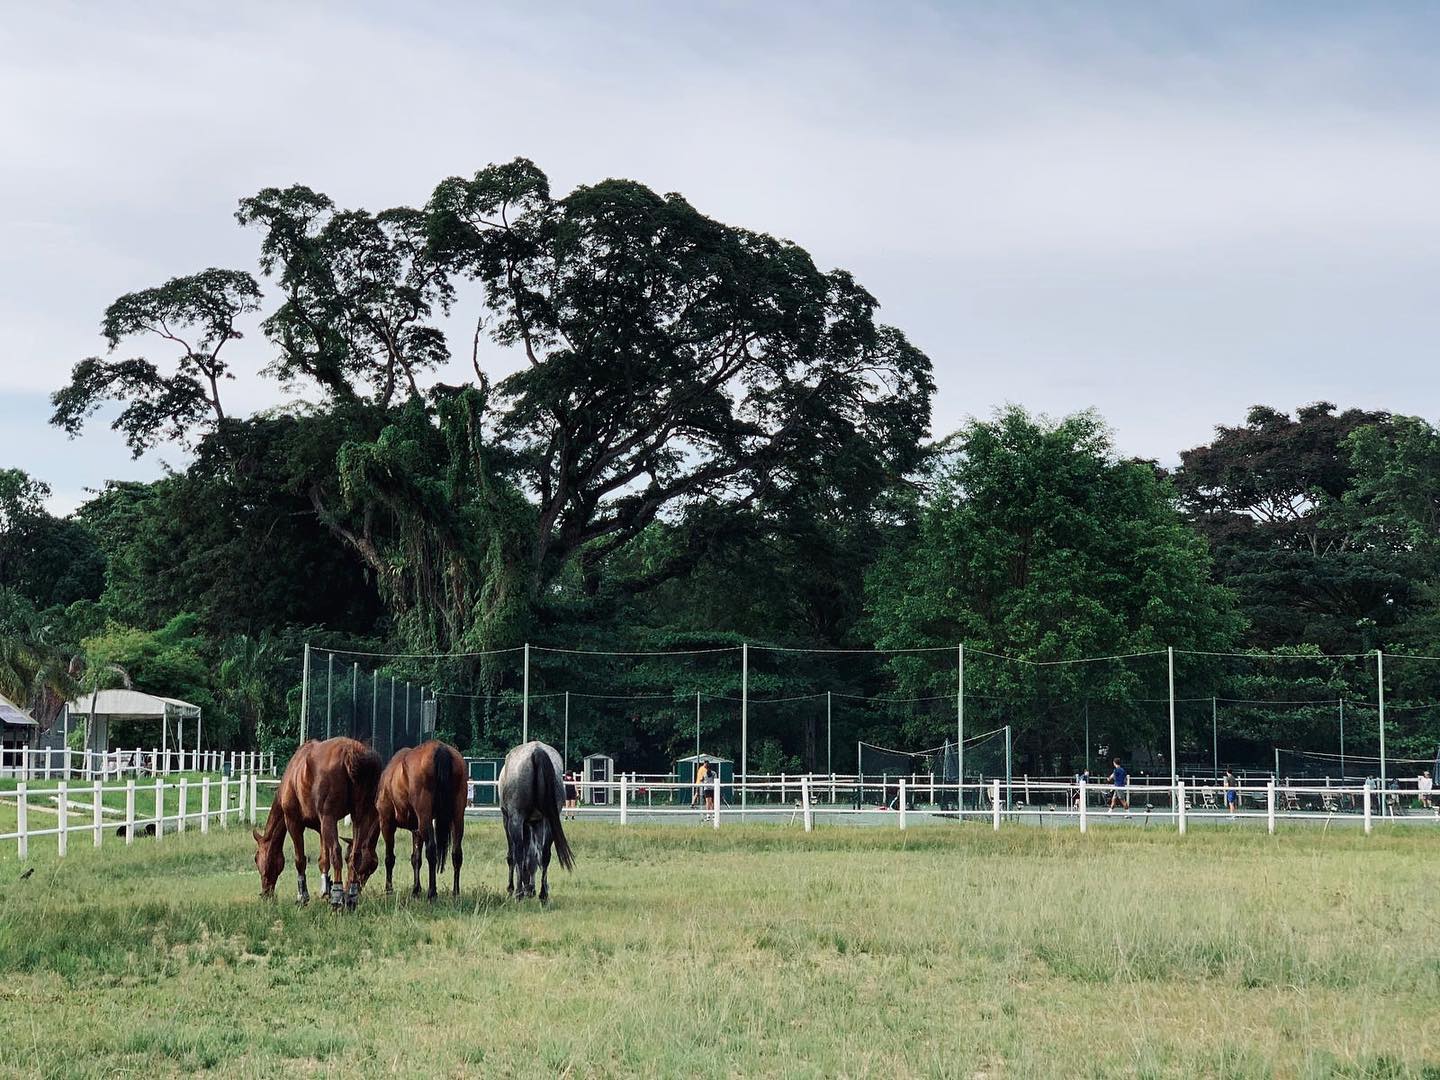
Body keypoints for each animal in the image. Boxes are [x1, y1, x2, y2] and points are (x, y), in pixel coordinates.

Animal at [253, 737, 383, 909]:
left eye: (256, 858)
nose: (265, 893)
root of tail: (352, 753)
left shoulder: (294, 822)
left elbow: (300, 859)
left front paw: (303, 896)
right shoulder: (321, 827)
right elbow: (323, 860)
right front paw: (325, 890)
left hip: (329, 817)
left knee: (336, 852)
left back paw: (337, 898)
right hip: (360, 816)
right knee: (355, 854)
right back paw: (350, 897)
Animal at [374, 739, 466, 900]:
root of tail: (440, 748)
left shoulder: (386, 823)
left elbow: (389, 858)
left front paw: (389, 889)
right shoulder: (416, 829)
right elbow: (416, 858)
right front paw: (416, 889)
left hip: (425, 817)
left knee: (432, 851)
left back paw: (432, 893)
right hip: (457, 816)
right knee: (456, 853)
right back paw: (455, 892)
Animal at [499, 740, 574, 903]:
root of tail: (536, 751)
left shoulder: (508, 819)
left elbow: (513, 856)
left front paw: (513, 888)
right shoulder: (535, 822)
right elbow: (533, 855)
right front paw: (531, 887)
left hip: (515, 820)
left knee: (519, 853)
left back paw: (518, 893)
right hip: (549, 821)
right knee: (544, 855)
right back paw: (543, 894)